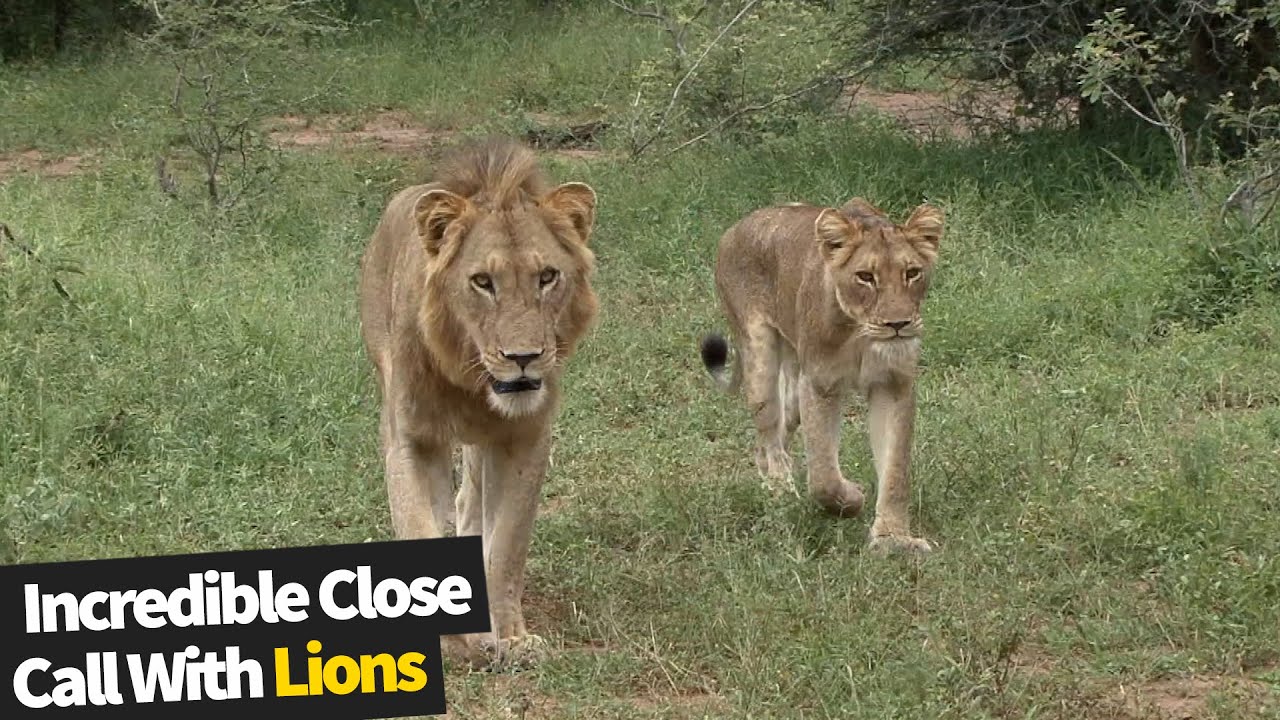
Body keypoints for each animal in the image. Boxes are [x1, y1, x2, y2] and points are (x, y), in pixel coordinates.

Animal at [357, 138, 599, 669]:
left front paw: (509, 638)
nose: (523, 358)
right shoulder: (408, 440)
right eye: (483, 282)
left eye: (547, 277)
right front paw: (448, 645)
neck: (469, 383)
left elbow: (506, 547)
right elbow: (419, 530)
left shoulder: (525, 438)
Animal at [699, 197, 943, 555]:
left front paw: (893, 538)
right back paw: (781, 493)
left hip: (793, 385)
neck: (861, 335)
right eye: (865, 277)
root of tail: (735, 227)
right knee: (768, 433)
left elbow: (896, 469)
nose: (897, 325)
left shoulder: (894, 383)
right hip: (760, 358)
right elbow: (824, 476)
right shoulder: (820, 384)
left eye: (912, 273)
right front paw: (852, 499)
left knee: (774, 437)